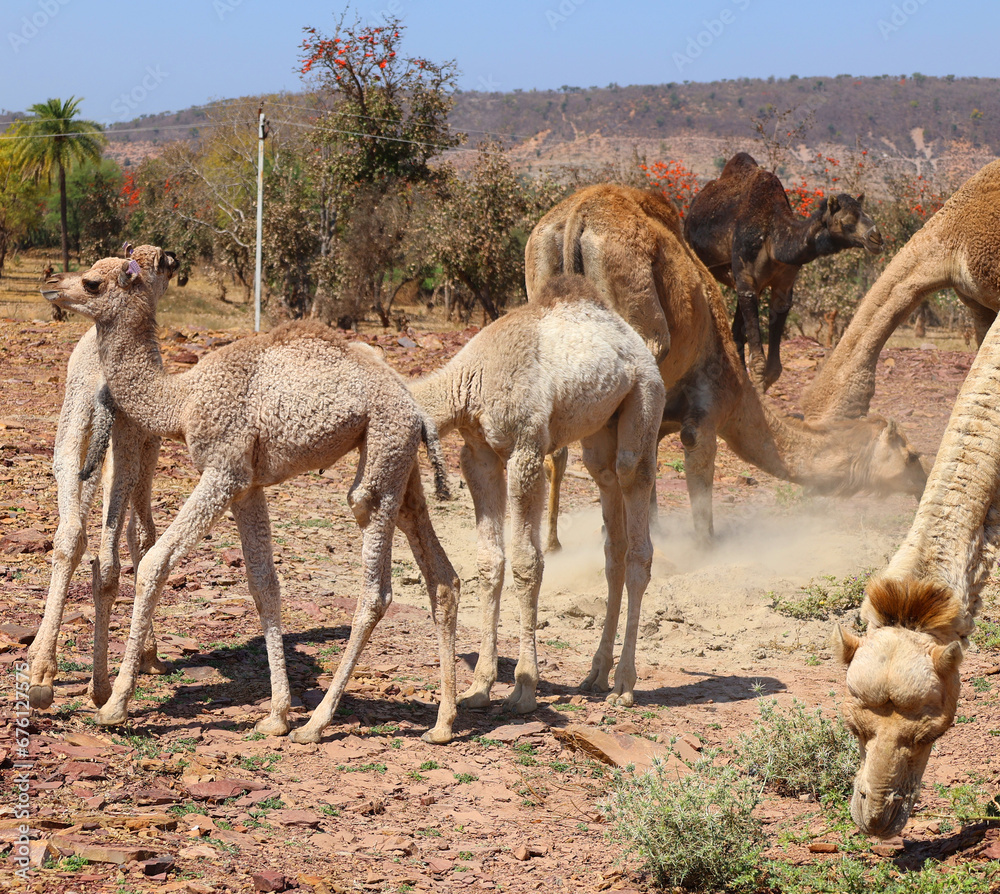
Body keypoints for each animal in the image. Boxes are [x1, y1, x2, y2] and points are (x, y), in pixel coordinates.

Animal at [28, 245, 172, 713]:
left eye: (91, 281)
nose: (51, 284)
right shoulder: (148, 446)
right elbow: (142, 536)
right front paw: (150, 654)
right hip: (112, 443)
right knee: (107, 544)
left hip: (76, 436)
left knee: (74, 537)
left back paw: (46, 674)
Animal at [44, 250, 462, 745]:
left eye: (91, 282)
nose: (51, 282)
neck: (181, 398)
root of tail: (414, 407)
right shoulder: (247, 485)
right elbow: (264, 585)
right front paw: (277, 714)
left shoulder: (222, 470)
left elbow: (154, 564)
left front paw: (115, 706)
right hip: (401, 463)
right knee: (442, 575)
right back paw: (442, 724)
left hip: (383, 449)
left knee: (375, 584)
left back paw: (318, 723)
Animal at [411, 275, 665, 712]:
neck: (472, 377)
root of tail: (639, 346)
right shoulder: (479, 455)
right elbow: (489, 562)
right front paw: (479, 687)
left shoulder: (526, 450)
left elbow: (527, 563)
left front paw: (525, 687)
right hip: (602, 429)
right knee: (611, 533)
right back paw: (596, 674)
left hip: (645, 399)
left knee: (636, 524)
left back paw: (624, 685)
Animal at [525, 184, 925, 550]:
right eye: (912, 456)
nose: (922, 483)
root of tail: (577, 216)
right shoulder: (704, 415)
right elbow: (696, 487)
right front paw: (702, 546)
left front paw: (651, 531)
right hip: (637, 307)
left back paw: (556, 543)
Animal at [684, 152, 883, 391]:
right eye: (846, 221)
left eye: (866, 214)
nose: (876, 238)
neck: (775, 240)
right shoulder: (746, 278)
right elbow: (759, 364)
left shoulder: (781, 286)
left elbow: (773, 369)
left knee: (736, 335)